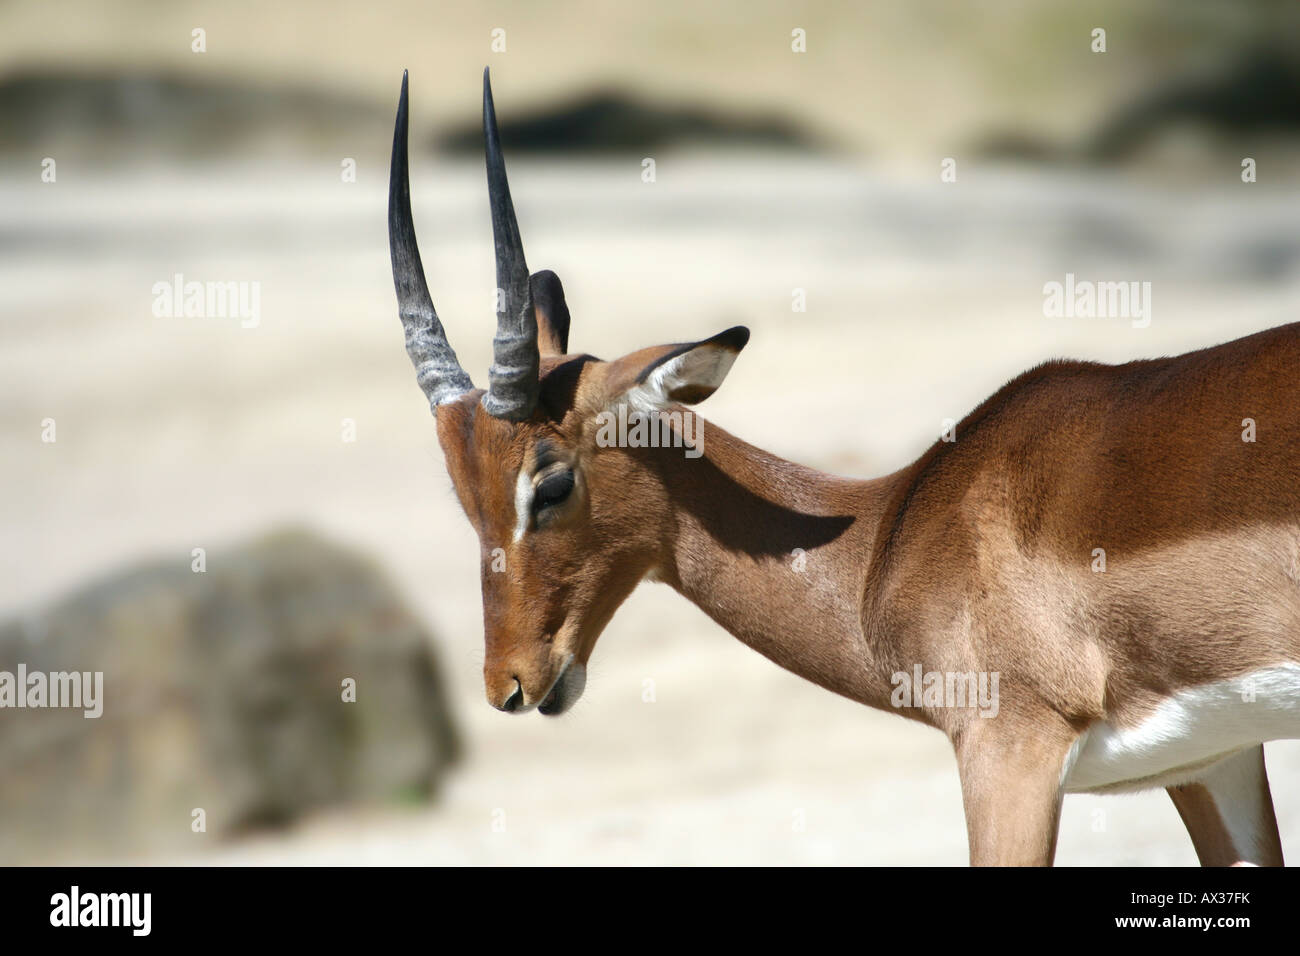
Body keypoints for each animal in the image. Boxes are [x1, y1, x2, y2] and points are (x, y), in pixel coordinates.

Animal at [387, 69, 1300, 866]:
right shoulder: (1211, 761)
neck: (893, 530)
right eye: (463, 497)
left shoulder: (1009, 753)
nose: (510, 682)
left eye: (549, 483)